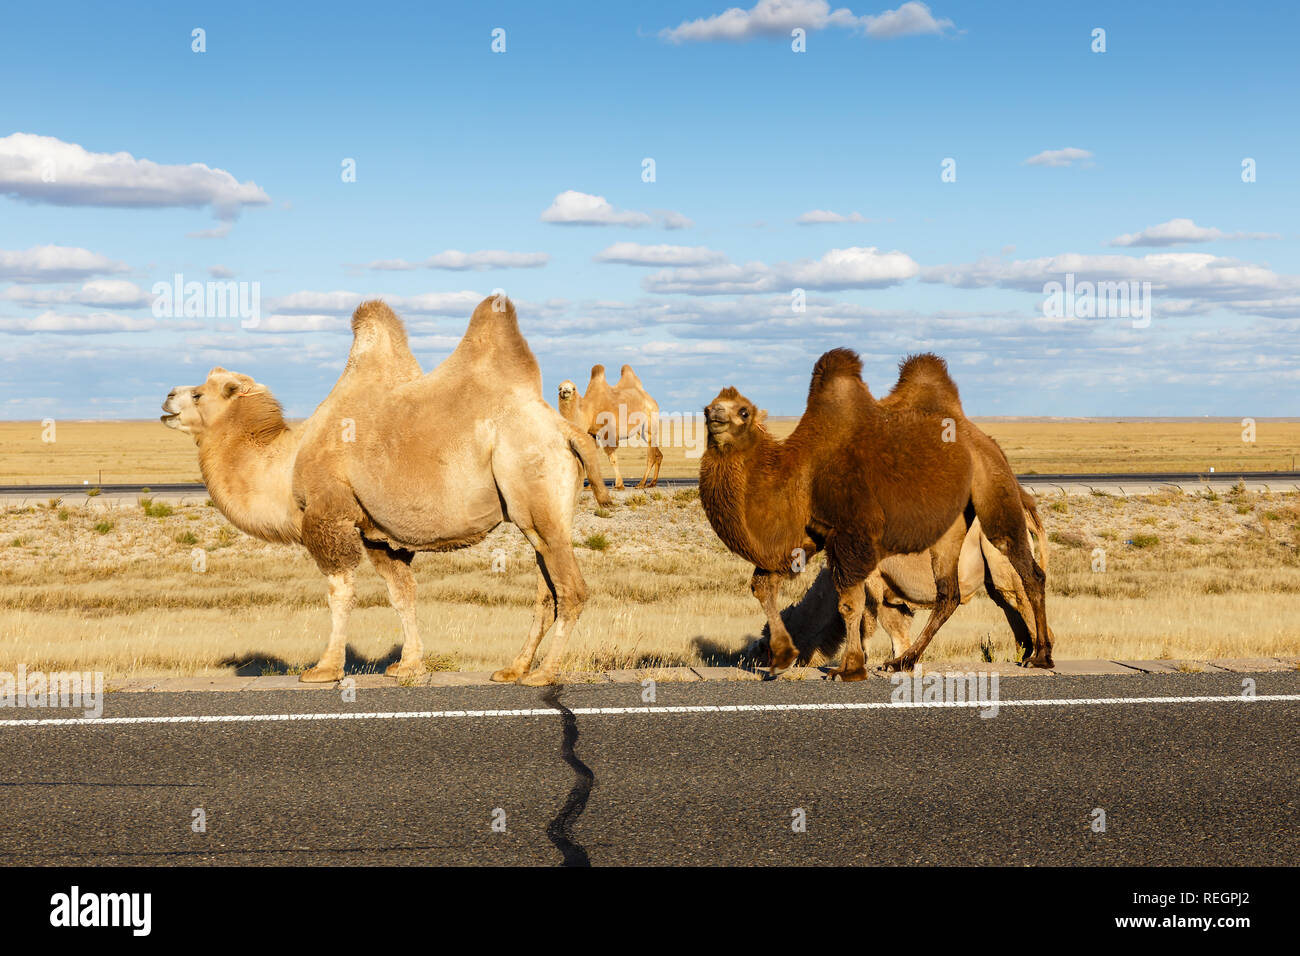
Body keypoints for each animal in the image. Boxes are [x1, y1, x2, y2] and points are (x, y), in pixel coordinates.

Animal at [161, 295, 612, 686]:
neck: (287, 463)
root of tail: (567, 430)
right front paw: (408, 666)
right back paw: (514, 668)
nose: (167, 397)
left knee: (571, 589)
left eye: (198, 393)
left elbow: (340, 592)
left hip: (533, 492)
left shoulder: (329, 514)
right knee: (546, 589)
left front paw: (325, 668)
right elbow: (402, 593)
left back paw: (544, 674)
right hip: (544, 514)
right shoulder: (376, 532)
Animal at [699, 349, 1052, 681]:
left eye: (743, 411)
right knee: (951, 594)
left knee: (1026, 574)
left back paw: (1040, 657)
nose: (714, 415)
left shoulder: (855, 541)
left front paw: (850, 668)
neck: (802, 469)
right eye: (706, 409)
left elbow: (851, 605)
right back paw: (907, 661)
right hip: (954, 526)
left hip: (993, 490)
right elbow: (763, 584)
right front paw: (785, 657)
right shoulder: (811, 533)